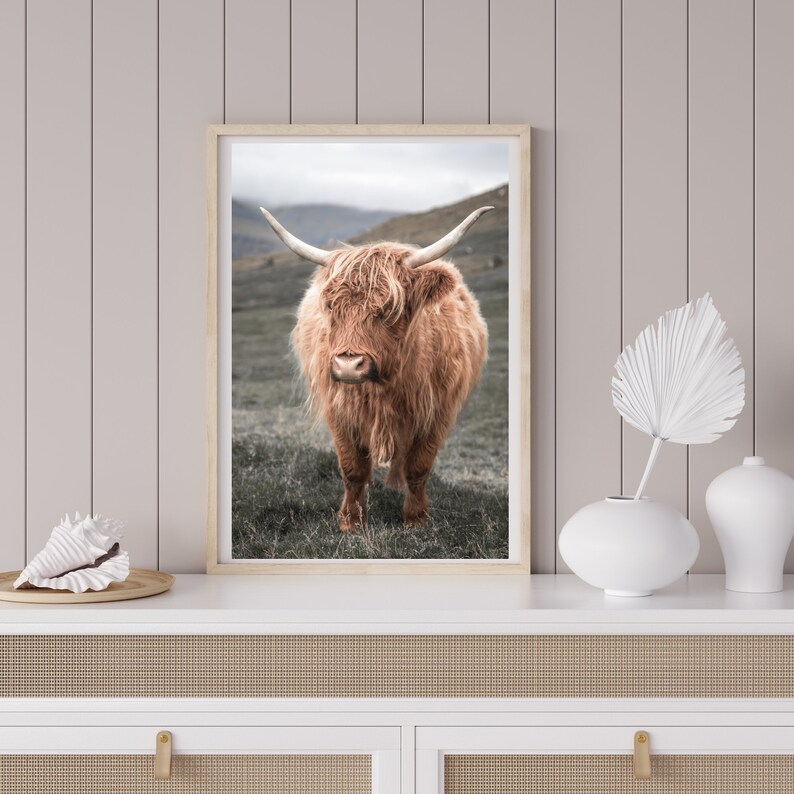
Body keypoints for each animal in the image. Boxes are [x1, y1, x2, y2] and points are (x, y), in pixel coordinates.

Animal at [259, 206, 491, 531]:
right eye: (331, 306)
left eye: (389, 309)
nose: (347, 365)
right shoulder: (340, 410)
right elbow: (352, 468)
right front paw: (351, 521)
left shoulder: (438, 412)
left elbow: (418, 467)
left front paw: (416, 520)